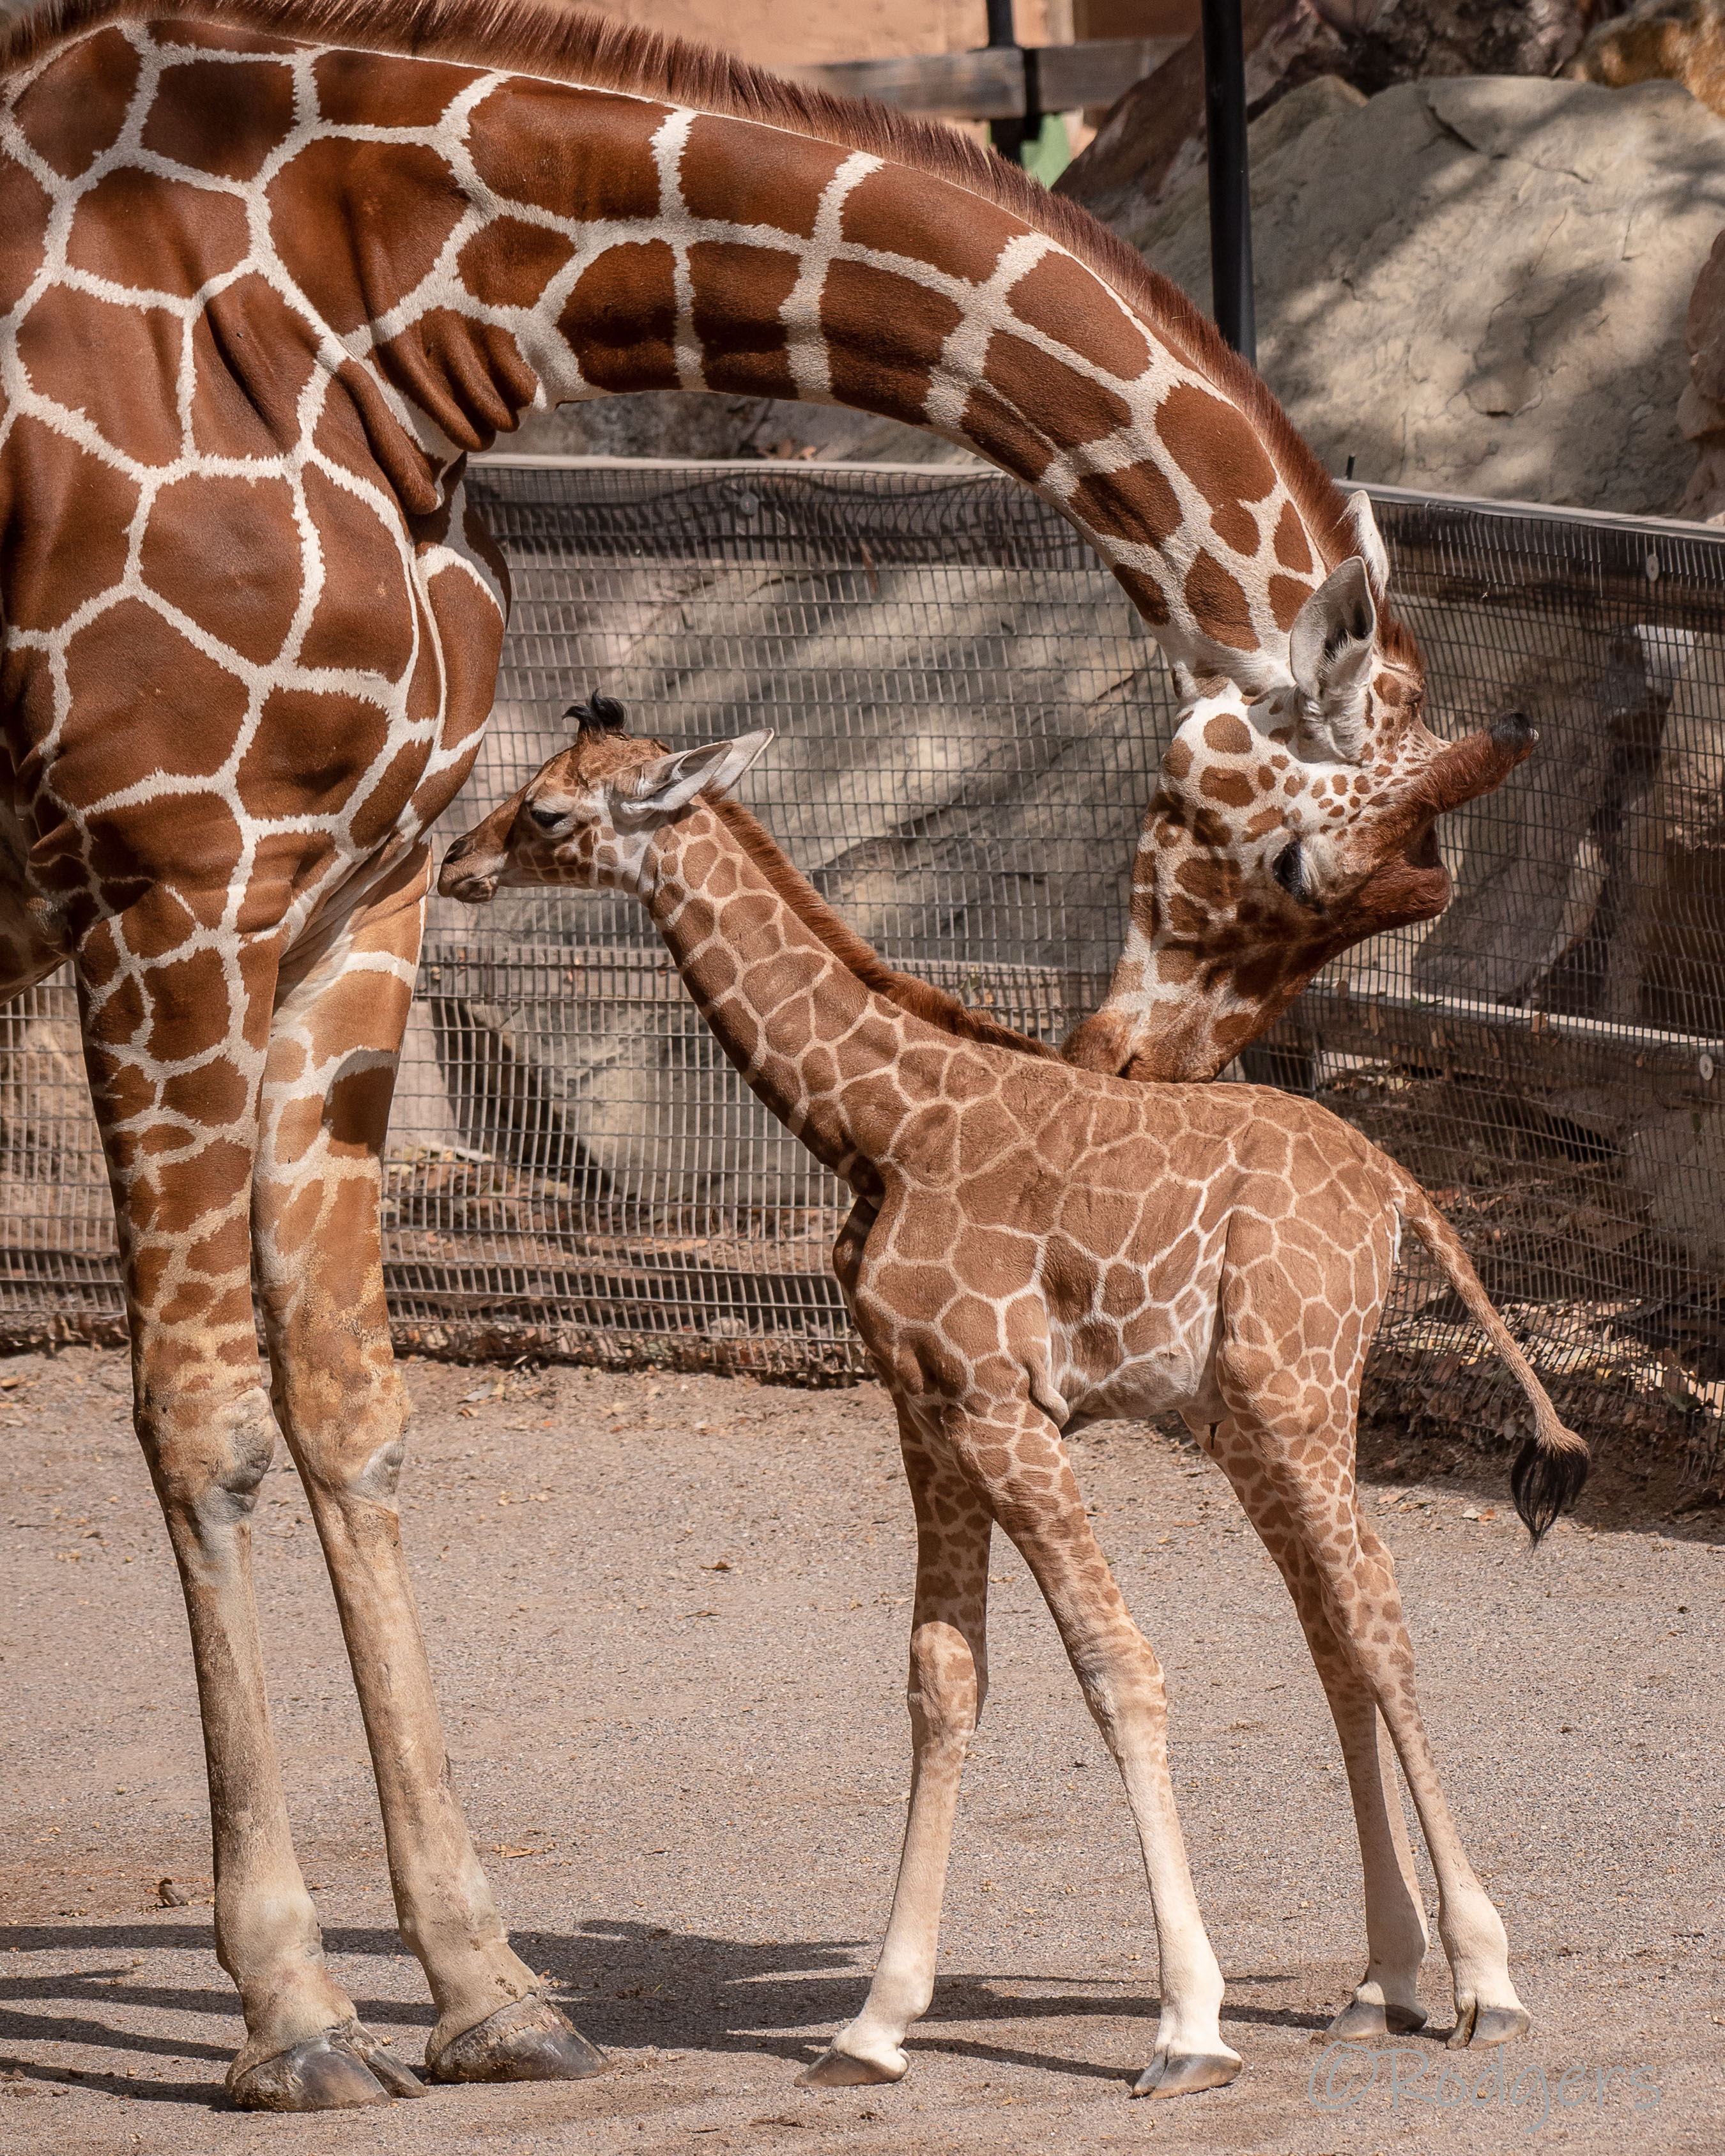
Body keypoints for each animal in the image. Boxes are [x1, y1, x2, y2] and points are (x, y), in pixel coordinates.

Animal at [439, 705, 1590, 2099]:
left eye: (548, 811)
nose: (456, 866)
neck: (876, 1129)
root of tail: (1398, 1186)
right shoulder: (926, 1411)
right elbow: (943, 1679)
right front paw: (872, 2025)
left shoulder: (1004, 1410)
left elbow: (1118, 1664)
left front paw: (1188, 2026)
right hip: (1246, 1425)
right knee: (1334, 1632)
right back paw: (1383, 1985)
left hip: (1301, 1400)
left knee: (1377, 1628)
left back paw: (1488, 1982)